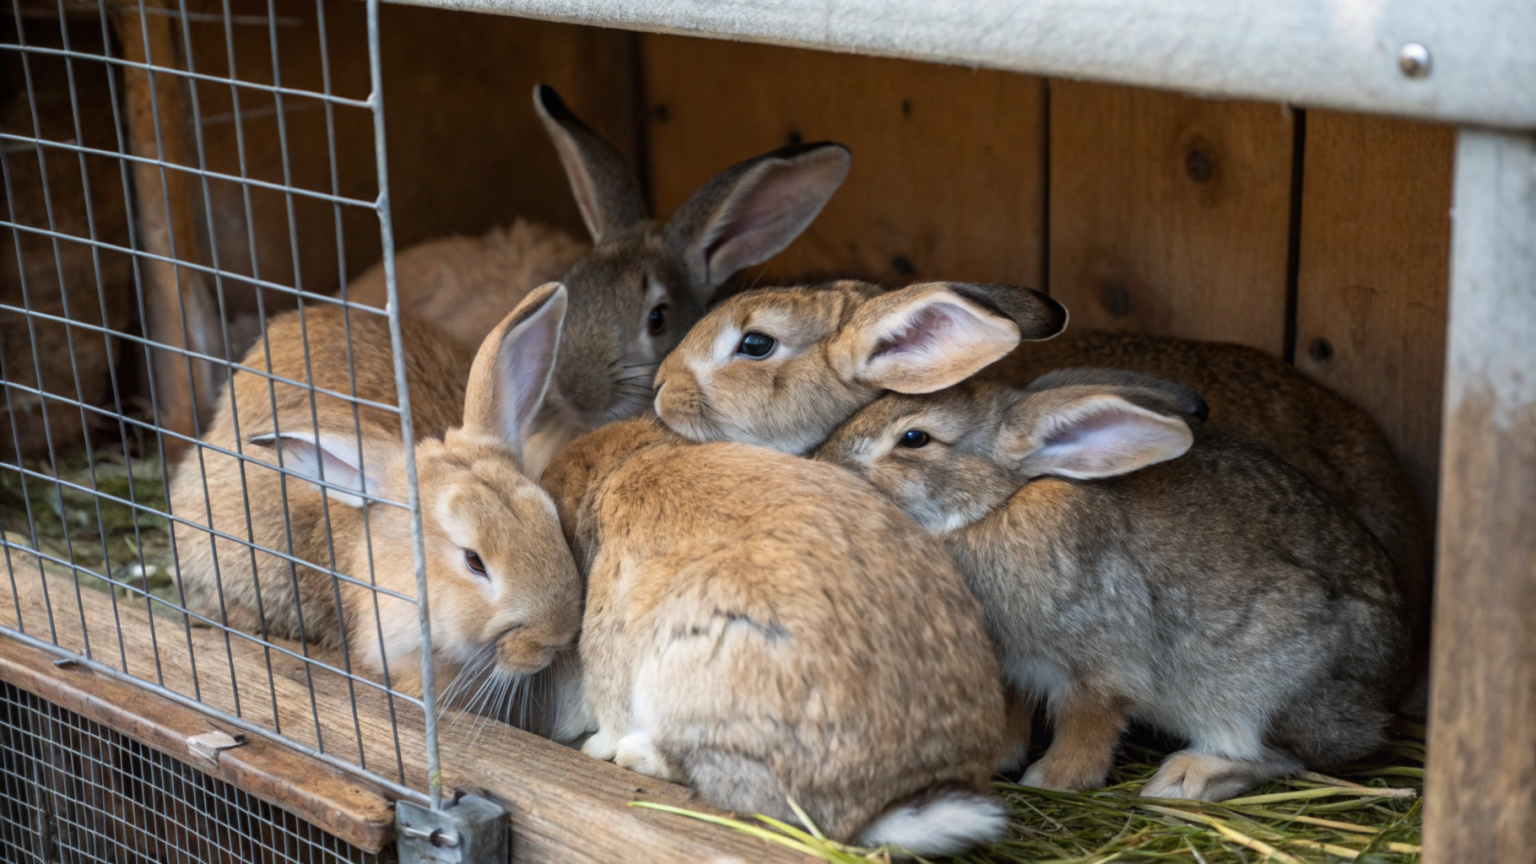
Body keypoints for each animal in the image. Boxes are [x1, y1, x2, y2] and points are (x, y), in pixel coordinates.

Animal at [816, 369, 1412, 801]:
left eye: (914, 438)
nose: (823, 464)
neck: (993, 509)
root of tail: (1389, 686)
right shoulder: (1012, 668)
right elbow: (1011, 713)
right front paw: (999, 760)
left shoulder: (1101, 662)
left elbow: (1090, 720)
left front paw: (1053, 780)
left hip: (1266, 684)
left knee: (1289, 755)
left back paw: (1187, 778)